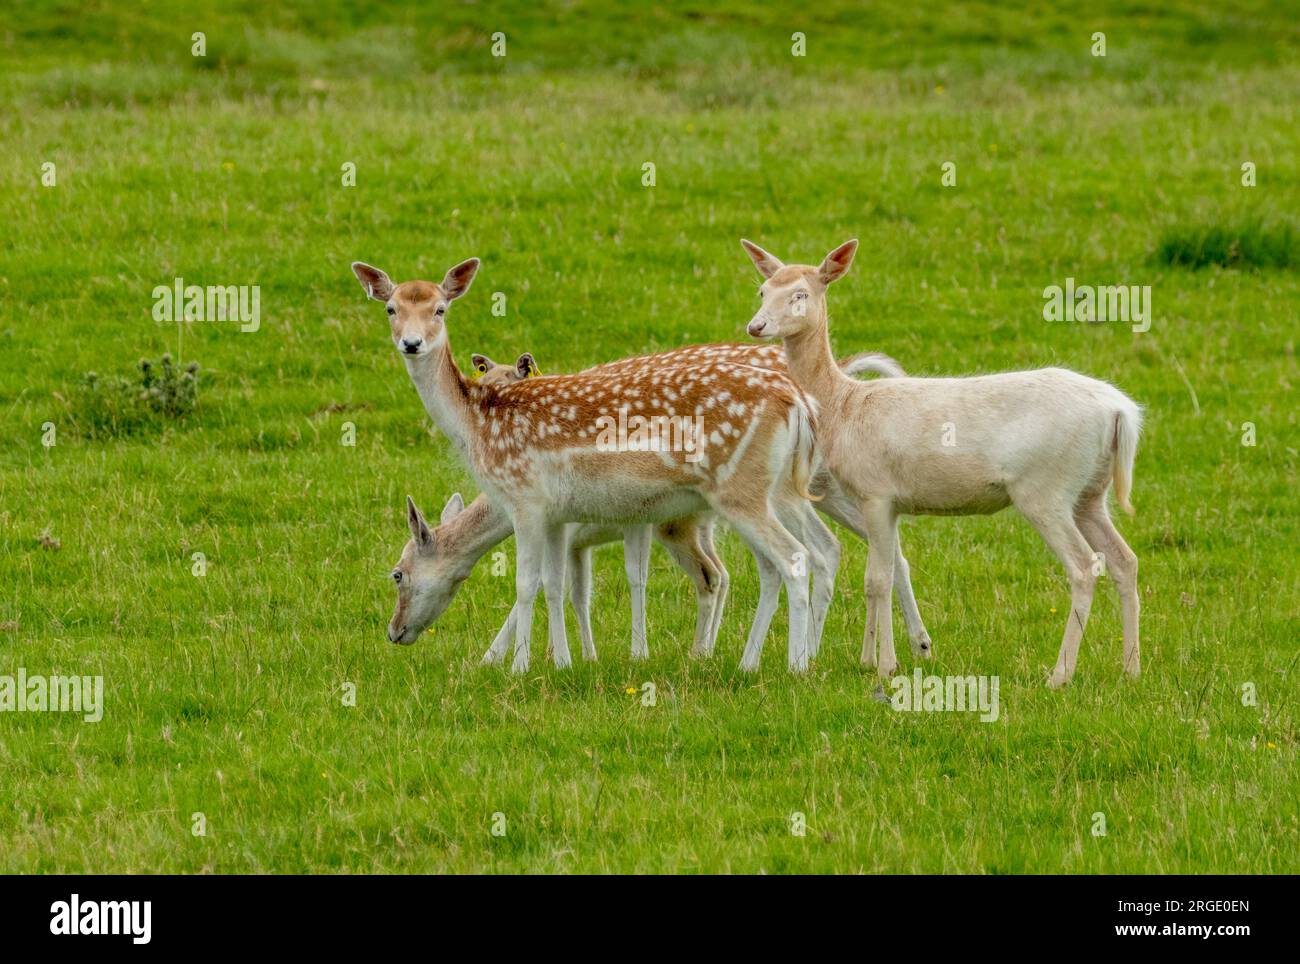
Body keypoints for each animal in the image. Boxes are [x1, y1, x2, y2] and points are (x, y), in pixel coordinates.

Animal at [353, 258, 832, 674]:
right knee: (783, 561)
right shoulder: (558, 516)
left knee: (795, 557)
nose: (394, 631)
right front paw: (564, 662)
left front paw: (516, 667)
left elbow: (526, 584)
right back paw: (755, 662)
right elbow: (559, 585)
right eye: (391, 308)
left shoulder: (525, 499)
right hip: (760, 493)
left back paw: (795, 667)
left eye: (440, 308)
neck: (478, 429)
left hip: (741, 489)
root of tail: (797, 402)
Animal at [741, 239, 1143, 688]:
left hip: (1046, 490)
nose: (756, 326)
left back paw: (1059, 674)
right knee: (1125, 560)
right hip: (1090, 493)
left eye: (800, 294)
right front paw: (878, 659)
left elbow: (876, 579)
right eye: (762, 290)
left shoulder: (876, 492)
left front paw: (886, 666)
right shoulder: (885, 502)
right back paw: (1131, 668)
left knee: (1085, 566)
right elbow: (884, 572)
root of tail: (1121, 412)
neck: (842, 407)